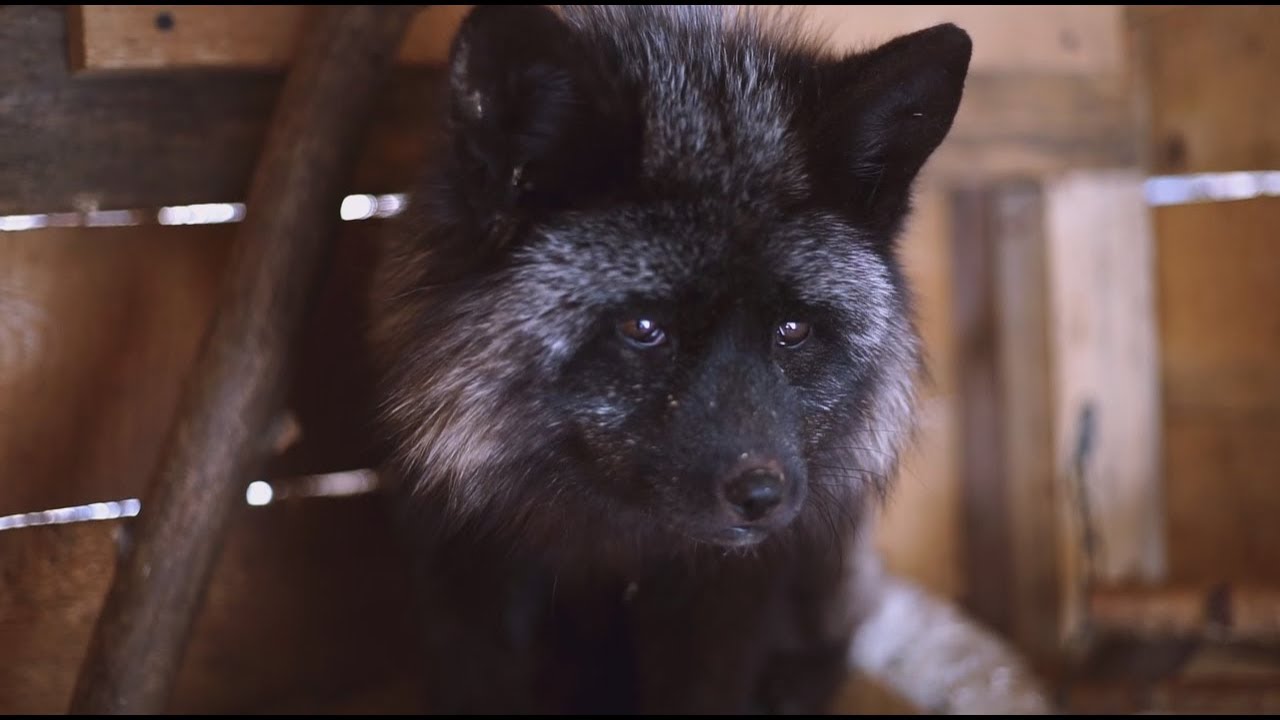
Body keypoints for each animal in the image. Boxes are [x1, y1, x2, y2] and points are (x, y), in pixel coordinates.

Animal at [367, 4, 1043, 714]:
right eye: (643, 328)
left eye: (793, 330)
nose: (762, 495)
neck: (612, 544)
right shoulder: (465, 565)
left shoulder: (725, 594)